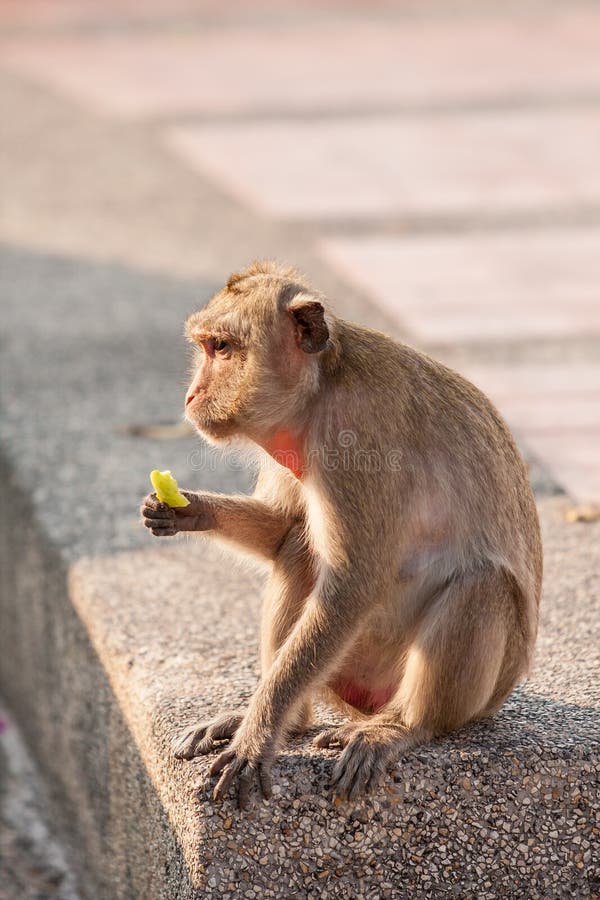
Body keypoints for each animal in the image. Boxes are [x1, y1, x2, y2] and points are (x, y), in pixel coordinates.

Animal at [140, 260, 542, 809]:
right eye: (205, 347)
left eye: (221, 348)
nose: (191, 395)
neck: (320, 389)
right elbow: (286, 528)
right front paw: (188, 509)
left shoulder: (354, 442)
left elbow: (354, 583)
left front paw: (256, 738)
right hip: (347, 673)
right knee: (299, 551)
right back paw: (294, 724)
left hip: (459, 689)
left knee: (483, 587)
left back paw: (400, 727)